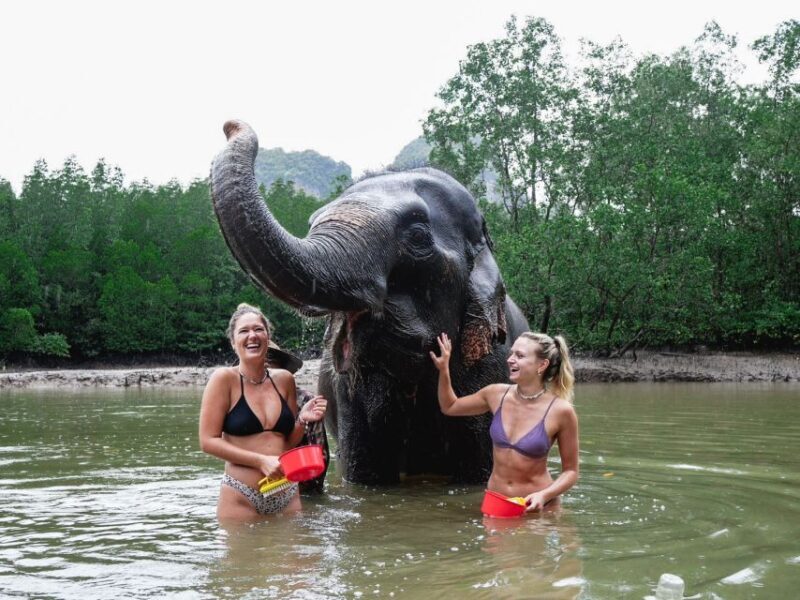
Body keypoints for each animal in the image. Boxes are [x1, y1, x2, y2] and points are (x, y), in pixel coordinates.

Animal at [211, 120, 528, 484]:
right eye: (312, 223)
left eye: (418, 236)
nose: (231, 125)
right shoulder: (351, 393)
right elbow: (366, 475)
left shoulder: (490, 370)